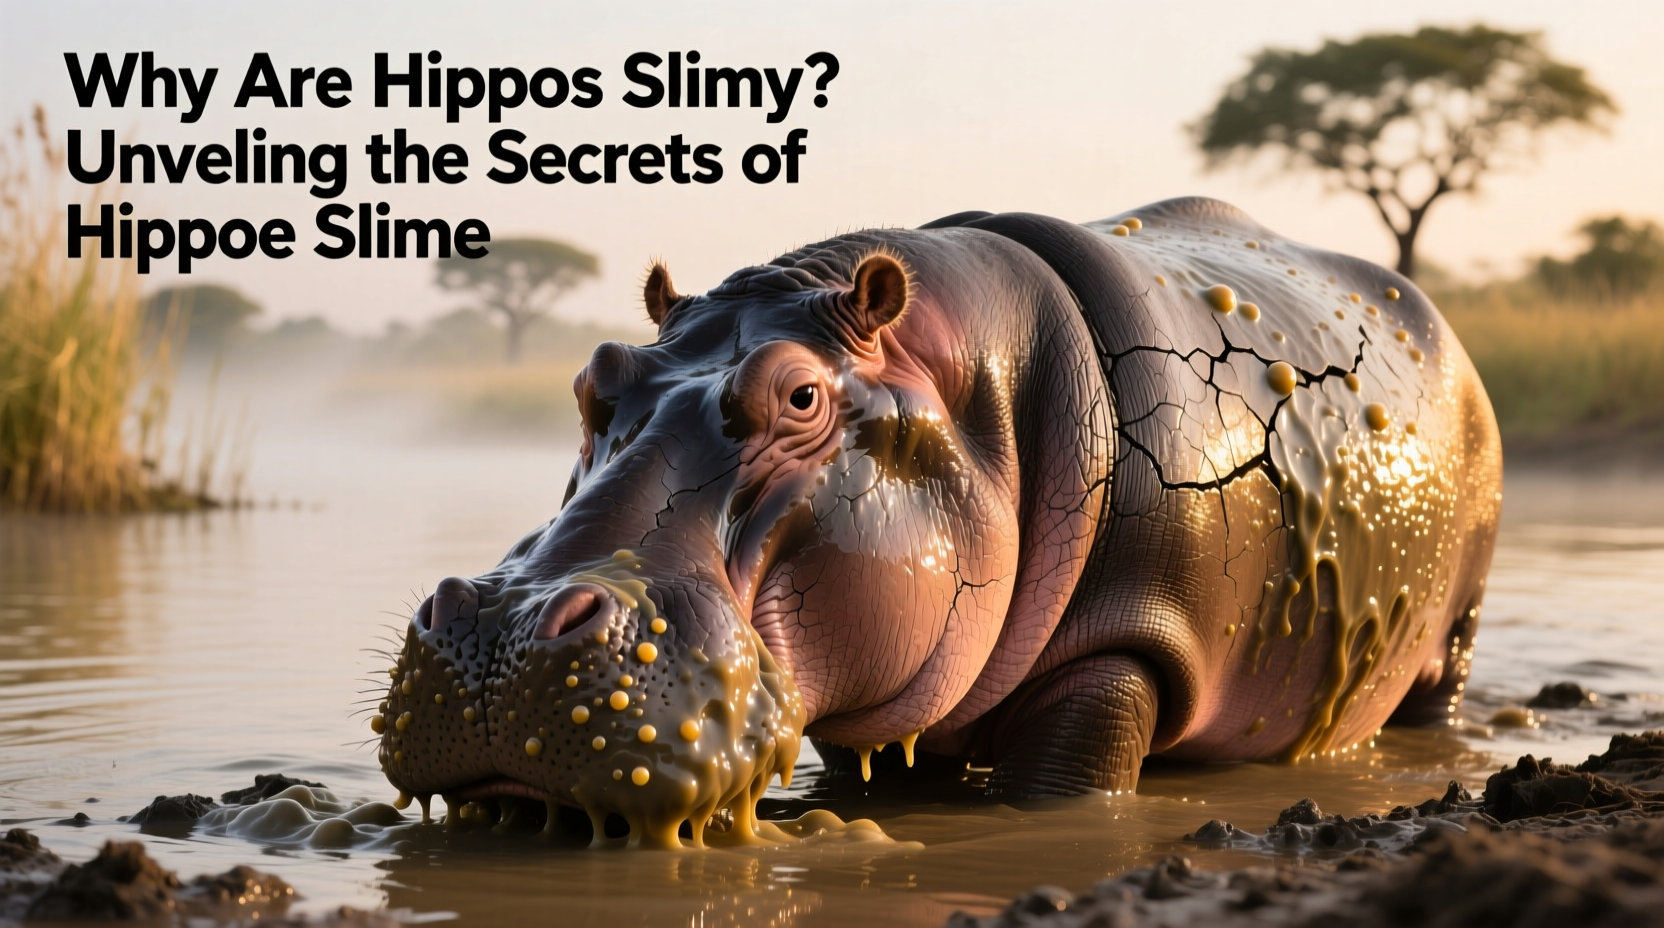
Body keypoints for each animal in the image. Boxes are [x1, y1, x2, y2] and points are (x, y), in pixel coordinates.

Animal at [375, 197, 1502, 847]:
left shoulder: (1121, 652)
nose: (497, 629)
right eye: (594, 378)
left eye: (800, 396)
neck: (968, 377)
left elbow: (1066, 784)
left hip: (1454, 621)